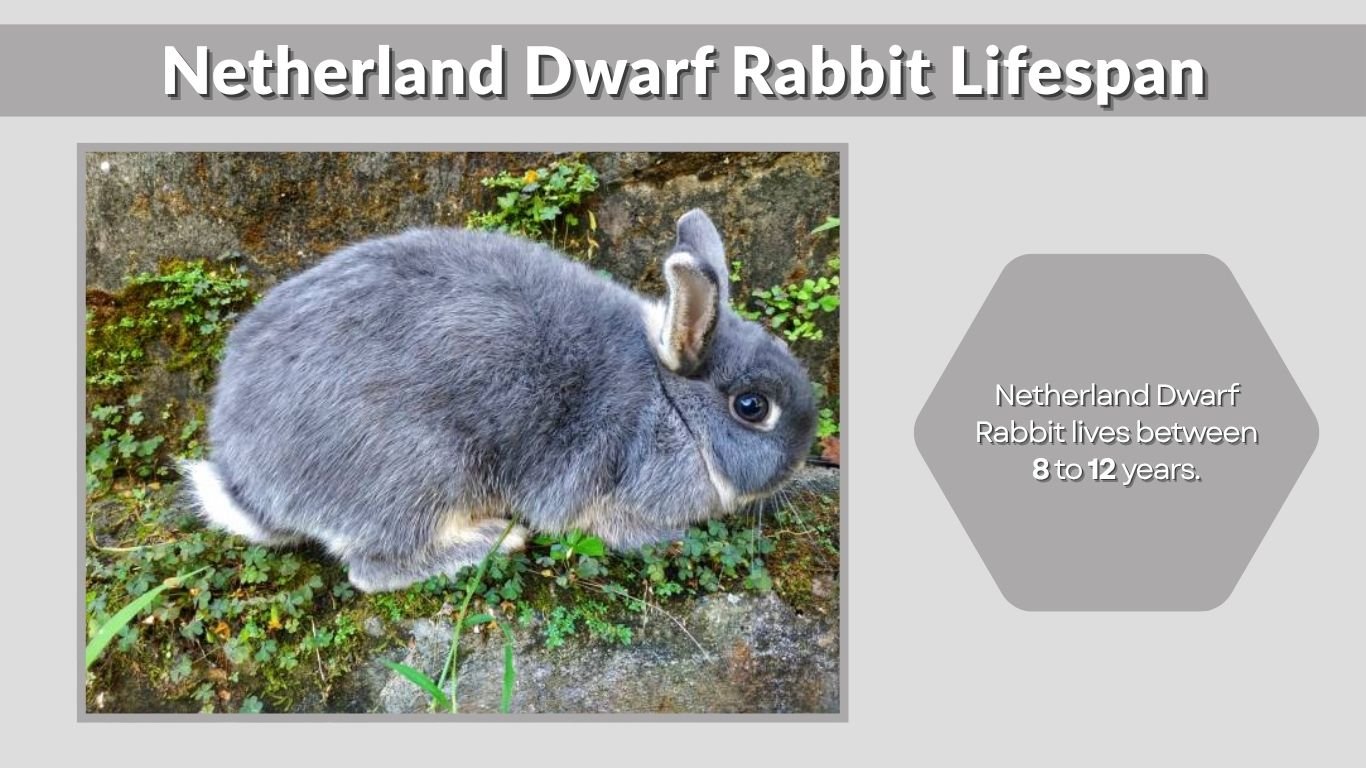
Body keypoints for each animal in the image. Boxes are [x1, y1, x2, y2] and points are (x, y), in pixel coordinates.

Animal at [182, 209, 817, 592]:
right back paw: (498, 539)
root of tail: (250, 485)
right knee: (373, 568)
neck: (672, 406)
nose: (801, 458)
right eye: (752, 407)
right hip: (424, 472)